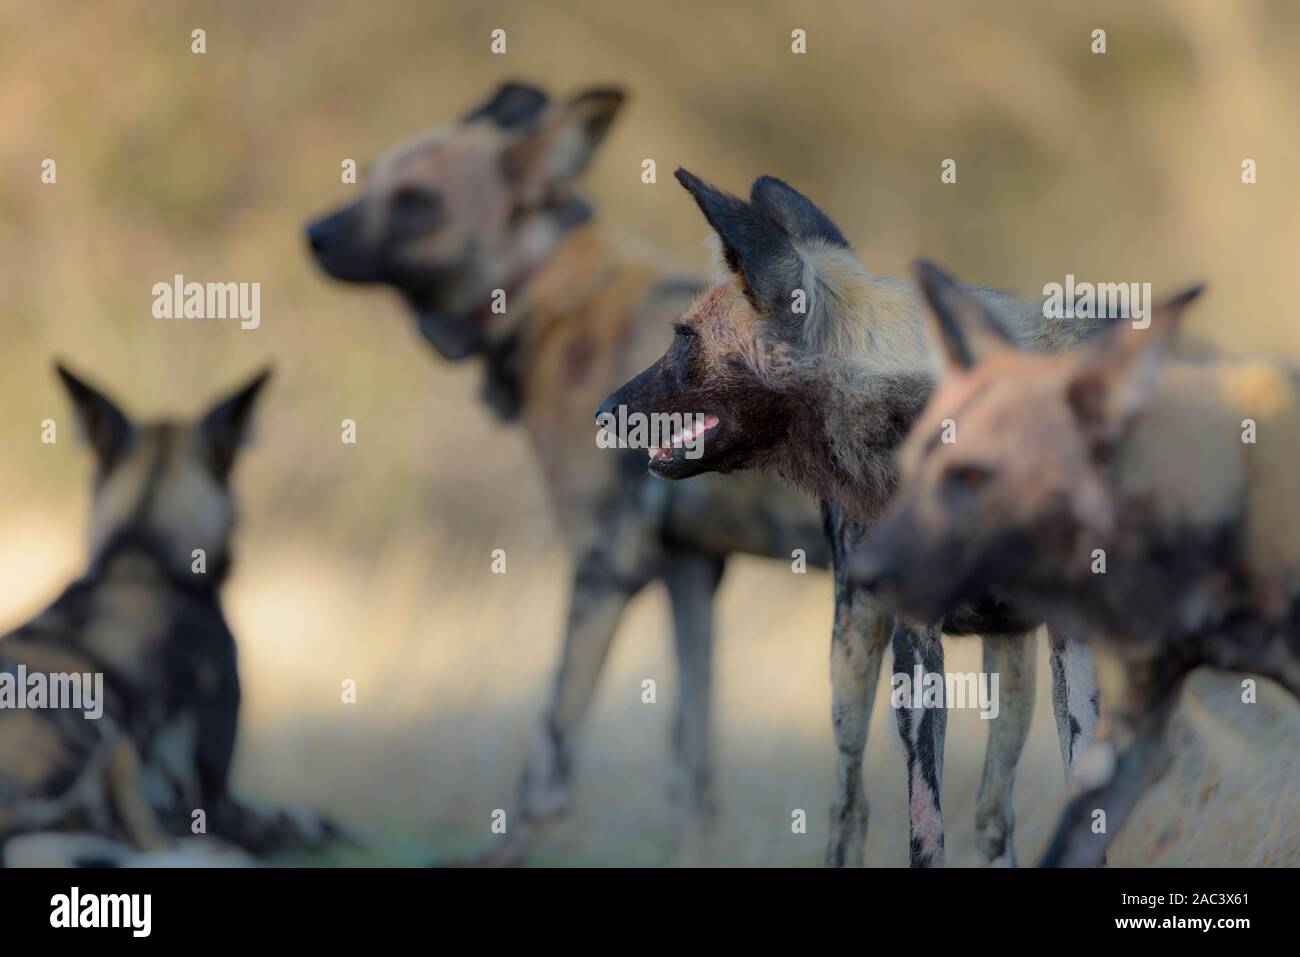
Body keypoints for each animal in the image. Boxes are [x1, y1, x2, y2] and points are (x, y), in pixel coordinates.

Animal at [306, 80, 821, 858]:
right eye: (370, 177)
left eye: (417, 201)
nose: (314, 232)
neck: (543, 291)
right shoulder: (691, 568)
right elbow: (692, 769)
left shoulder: (606, 566)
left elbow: (545, 766)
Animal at [603, 170, 1112, 868]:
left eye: (684, 338)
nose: (603, 408)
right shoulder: (915, 646)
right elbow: (924, 827)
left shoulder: (1073, 643)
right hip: (851, 659)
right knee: (850, 807)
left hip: (1013, 670)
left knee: (991, 811)